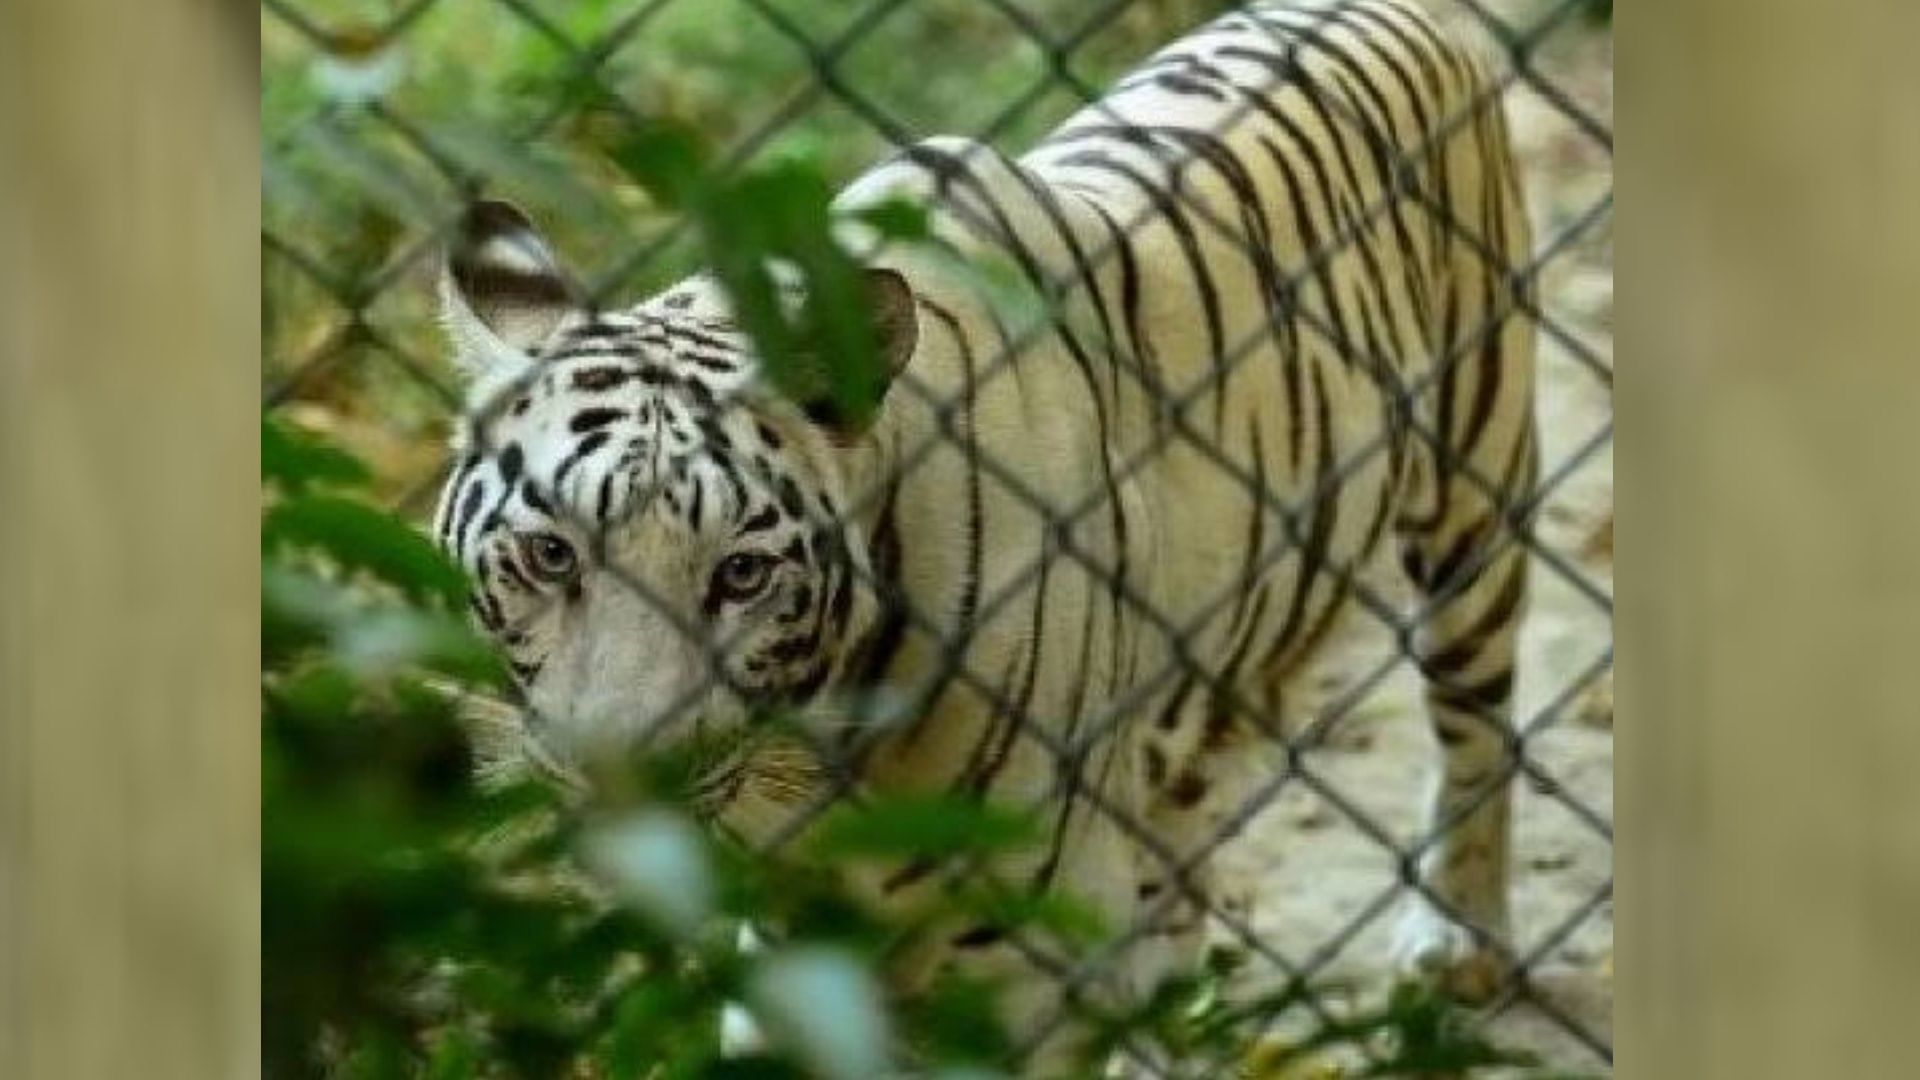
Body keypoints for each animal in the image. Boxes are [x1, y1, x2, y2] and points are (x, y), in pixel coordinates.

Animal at [428, 0, 1536, 1072]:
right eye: (552, 554)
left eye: (741, 575)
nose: (623, 777)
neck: (821, 741)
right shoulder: (798, 948)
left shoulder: (1033, 949)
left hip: (1475, 508)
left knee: (1477, 731)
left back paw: (1458, 942)